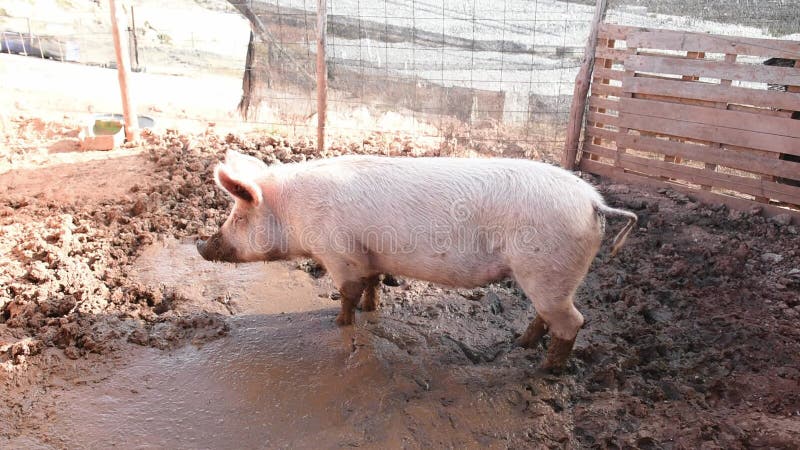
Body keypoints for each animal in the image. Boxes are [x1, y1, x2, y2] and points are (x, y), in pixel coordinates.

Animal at [197, 150, 637, 370]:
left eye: (239, 217)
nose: (202, 247)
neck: (293, 212)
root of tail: (595, 203)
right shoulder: (368, 253)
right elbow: (372, 284)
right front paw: (371, 310)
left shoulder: (339, 252)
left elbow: (347, 292)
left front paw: (337, 324)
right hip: (549, 276)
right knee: (548, 316)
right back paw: (520, 345)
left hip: (548, 269)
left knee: (573, 321)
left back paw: (546, 371)